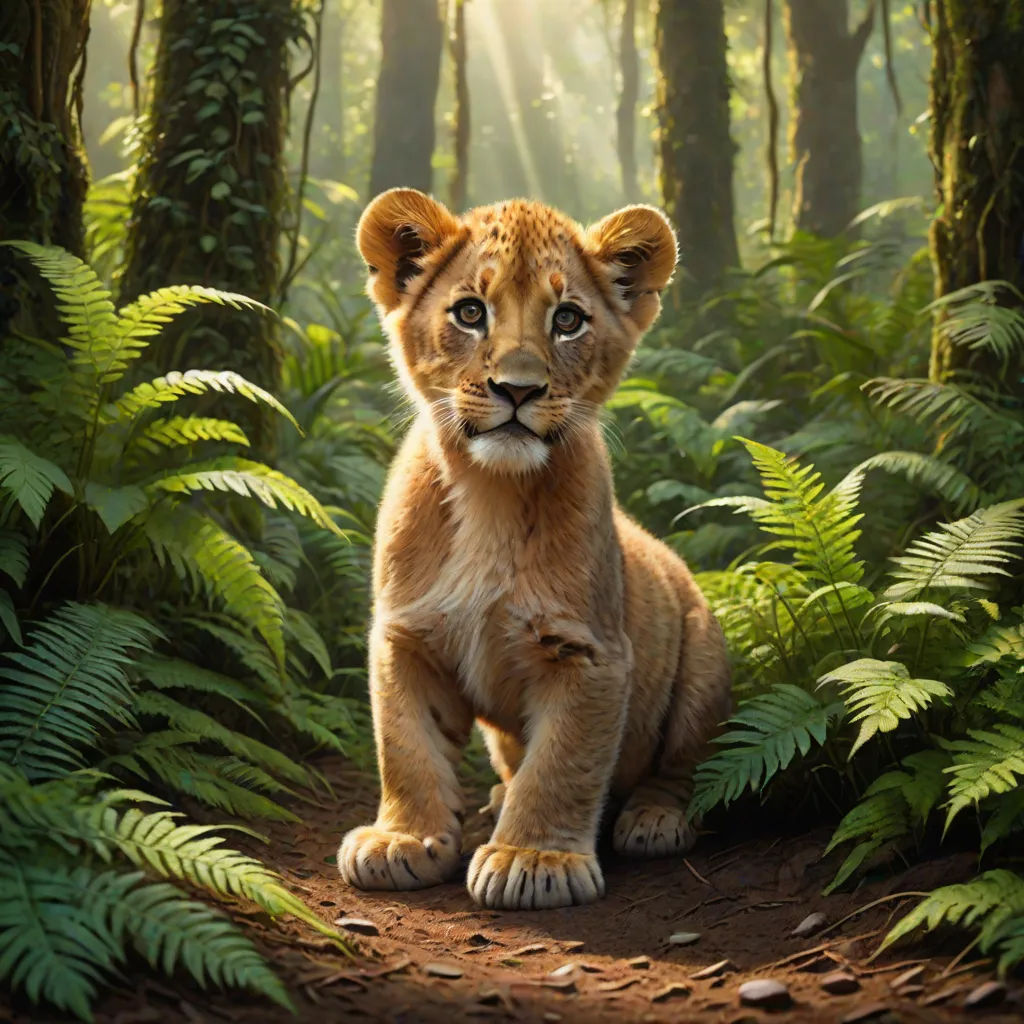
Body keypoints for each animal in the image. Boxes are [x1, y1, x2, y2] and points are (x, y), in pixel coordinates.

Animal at [337, 188, 731, 910]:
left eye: (568, 320)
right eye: (470, 312)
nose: (517, 389)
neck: (490, 489)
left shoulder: (589, 651)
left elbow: (563, 764)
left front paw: (535, 858)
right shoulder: (404, 638)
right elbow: (406, 746)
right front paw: (401, 839)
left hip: (704, 658)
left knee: (685, 767)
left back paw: (654, 819)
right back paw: (496, 800)